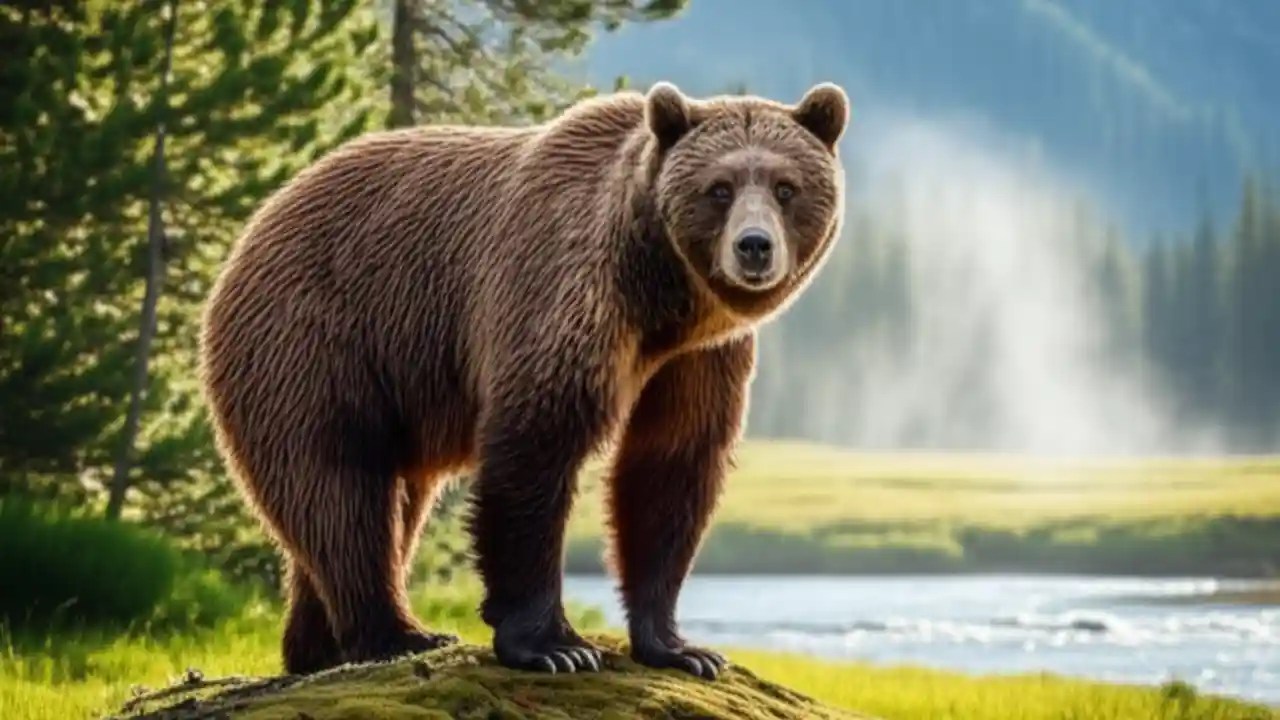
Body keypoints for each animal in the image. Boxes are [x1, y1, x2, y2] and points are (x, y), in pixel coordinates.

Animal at [199, 80, 849, 679]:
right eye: (718, 188)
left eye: (786, 187)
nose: (754, 247)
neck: (659, 293)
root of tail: (256, 224)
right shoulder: (559, 288)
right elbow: (535, 448)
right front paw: (555, 645)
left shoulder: (699, 357)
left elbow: (671, 465)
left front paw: (680, 647)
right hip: (316, 342)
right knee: (340, 485)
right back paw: (396, 633)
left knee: (377, 502)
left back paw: (316, 649)